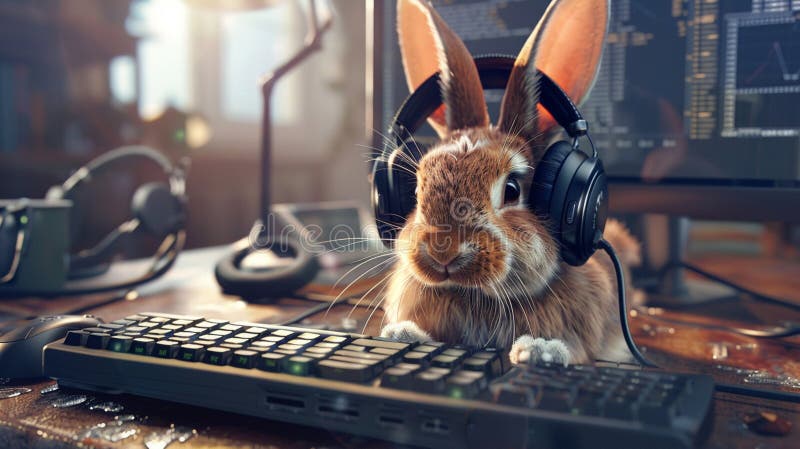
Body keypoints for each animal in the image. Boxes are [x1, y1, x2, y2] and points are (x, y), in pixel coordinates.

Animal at [379, 0, 642, 366]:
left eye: (512, 190)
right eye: (417, 190)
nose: (443, 250)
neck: (474, 295)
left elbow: (576, 350)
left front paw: (539, 351)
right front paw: (401, 334)